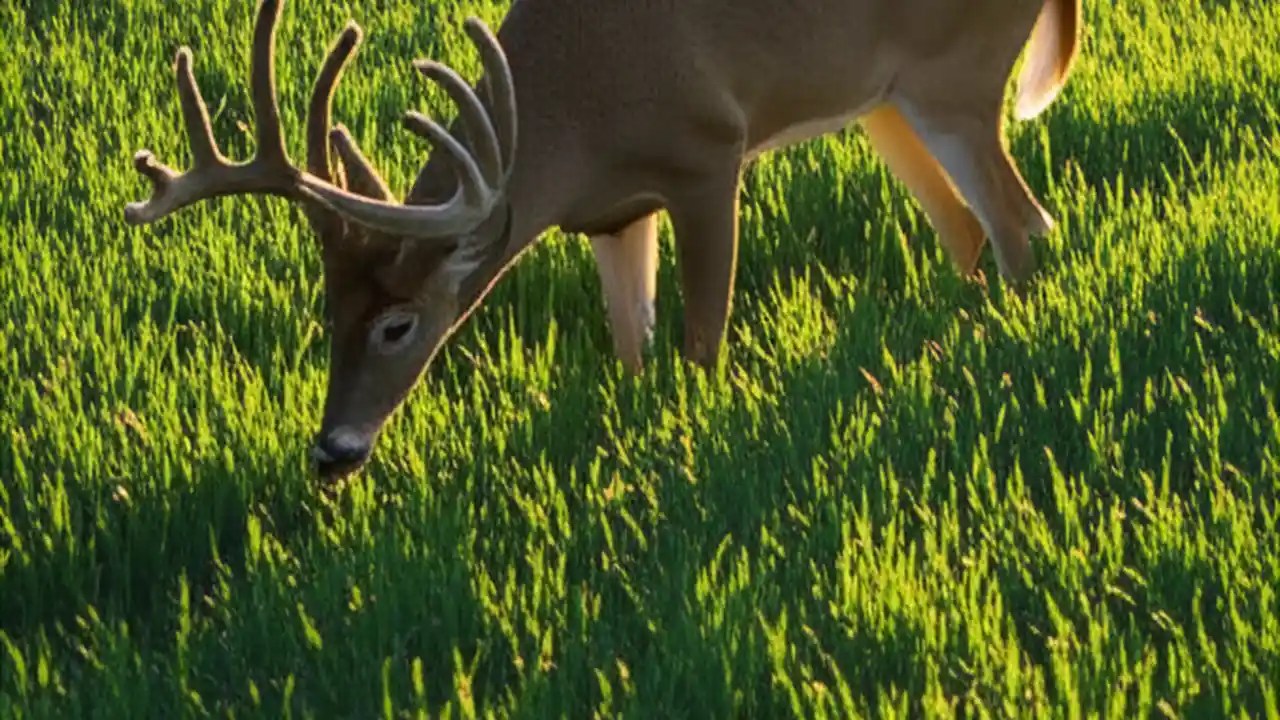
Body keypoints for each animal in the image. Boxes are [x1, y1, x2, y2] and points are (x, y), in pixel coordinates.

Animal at [125, 0, 1082, 479]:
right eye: (327, 313)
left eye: (399, 324)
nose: (332, 454)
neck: (574, 115)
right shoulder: (614, 213)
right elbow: (632, 351)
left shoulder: (708, 151)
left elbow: (701, 345)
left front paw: (700, 440)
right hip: (883, 98)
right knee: (971, 232)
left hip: (953, 78)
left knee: (1022, 225)